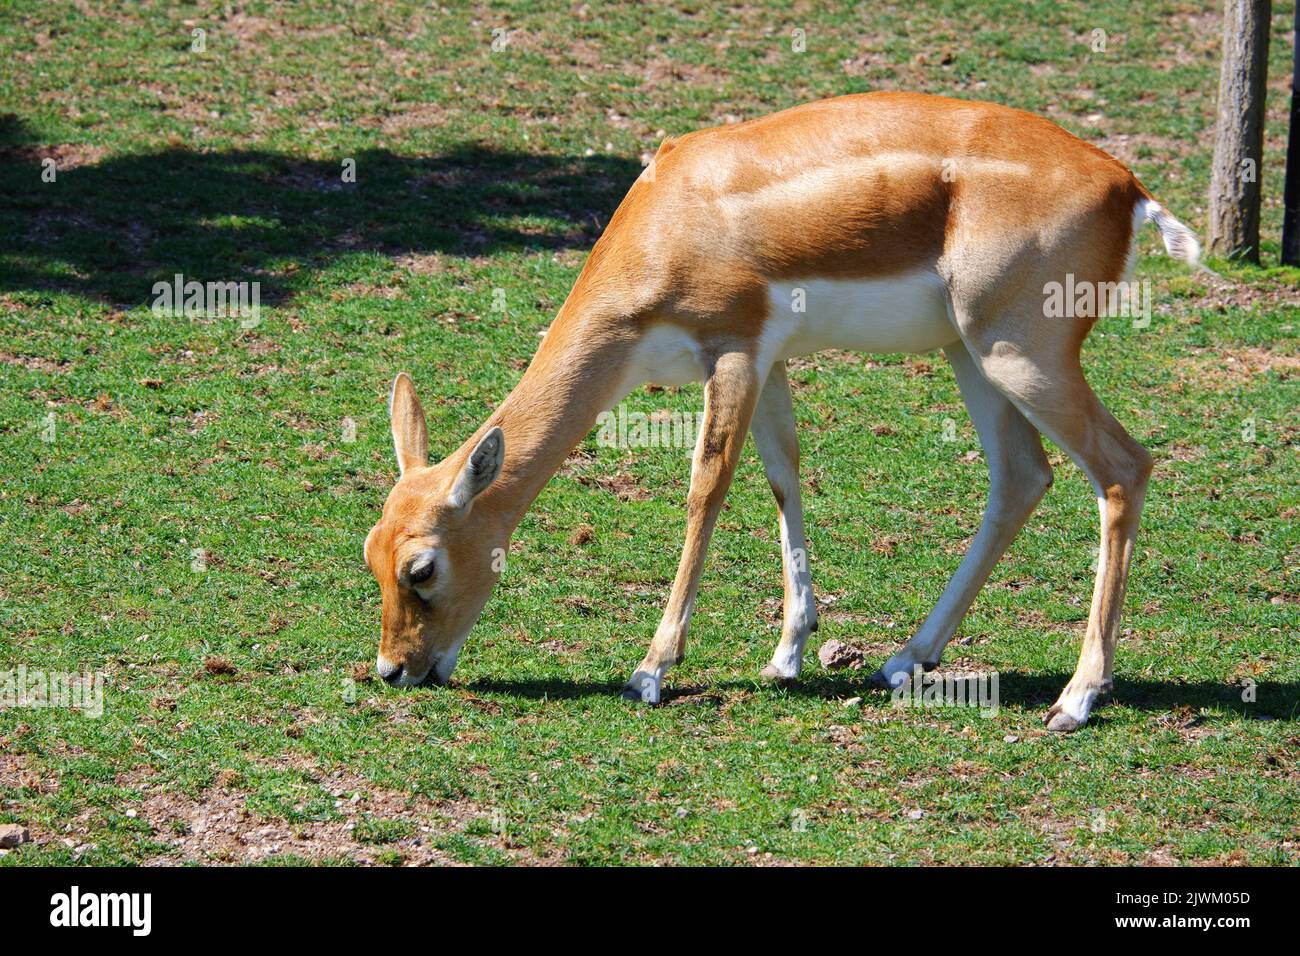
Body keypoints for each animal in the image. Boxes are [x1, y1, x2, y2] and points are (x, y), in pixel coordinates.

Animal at [363, 92, 1201, 732]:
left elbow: (707, 489)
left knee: (1124, 468)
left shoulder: (732, 351)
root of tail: (1127, 186)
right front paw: (789, 651)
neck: (670, 220)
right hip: (972, 355)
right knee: (1023, 476)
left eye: (421, 567)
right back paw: (906, 659)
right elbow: (783, 474)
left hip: (1019, 355)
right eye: (370, 553)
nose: (394, 669)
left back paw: (1076, 700)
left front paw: (651, 668)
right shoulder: (770, 364)